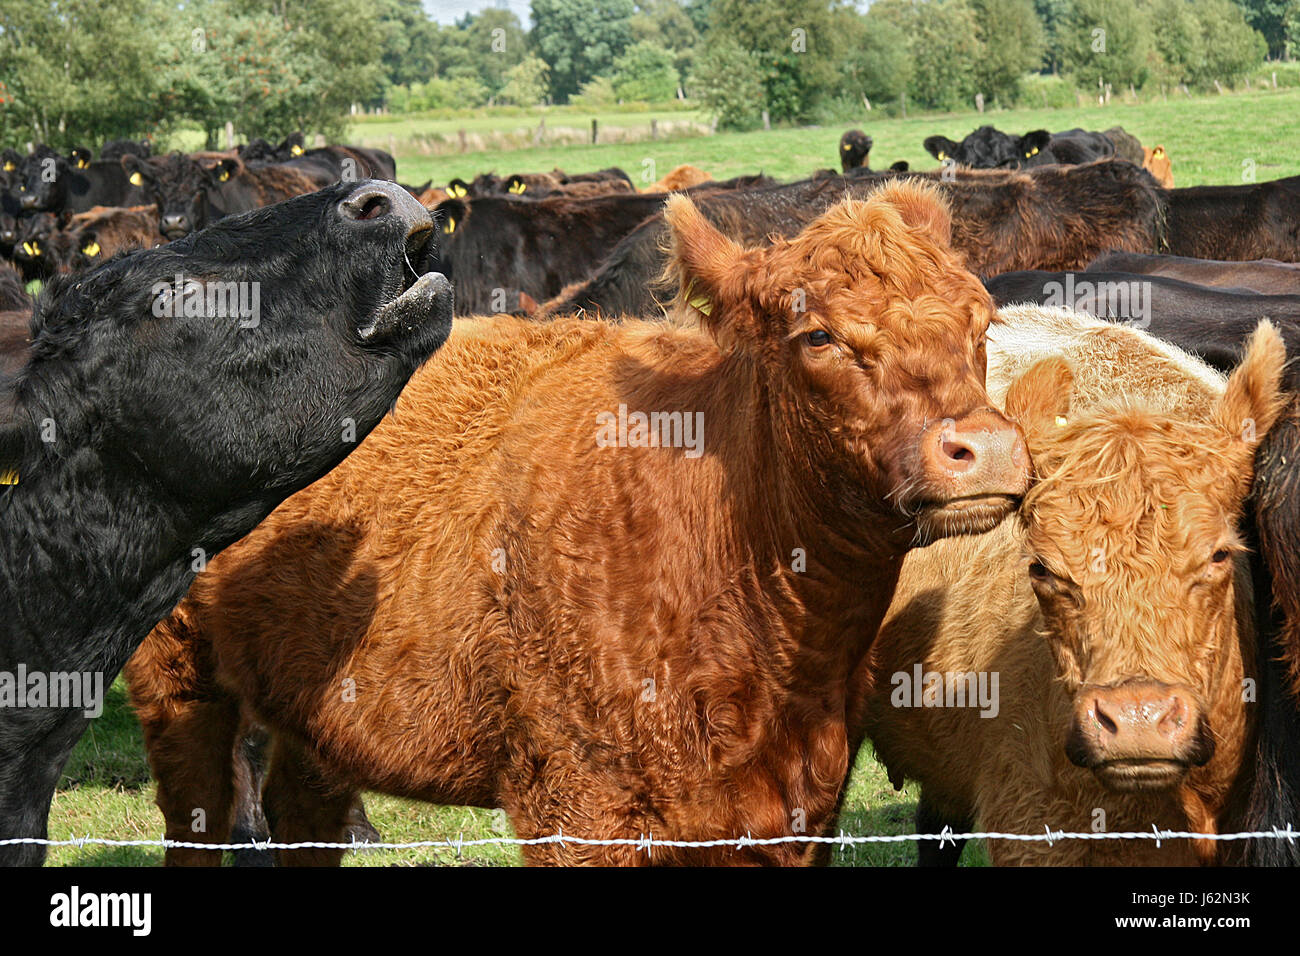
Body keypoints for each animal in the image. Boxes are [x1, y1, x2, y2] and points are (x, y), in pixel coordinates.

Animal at [123, 181, 1032, 867]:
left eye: (981, 320)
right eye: (818, 335)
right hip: (174, 678)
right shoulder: (576, 801)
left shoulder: (794, 808)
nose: (983, 448)